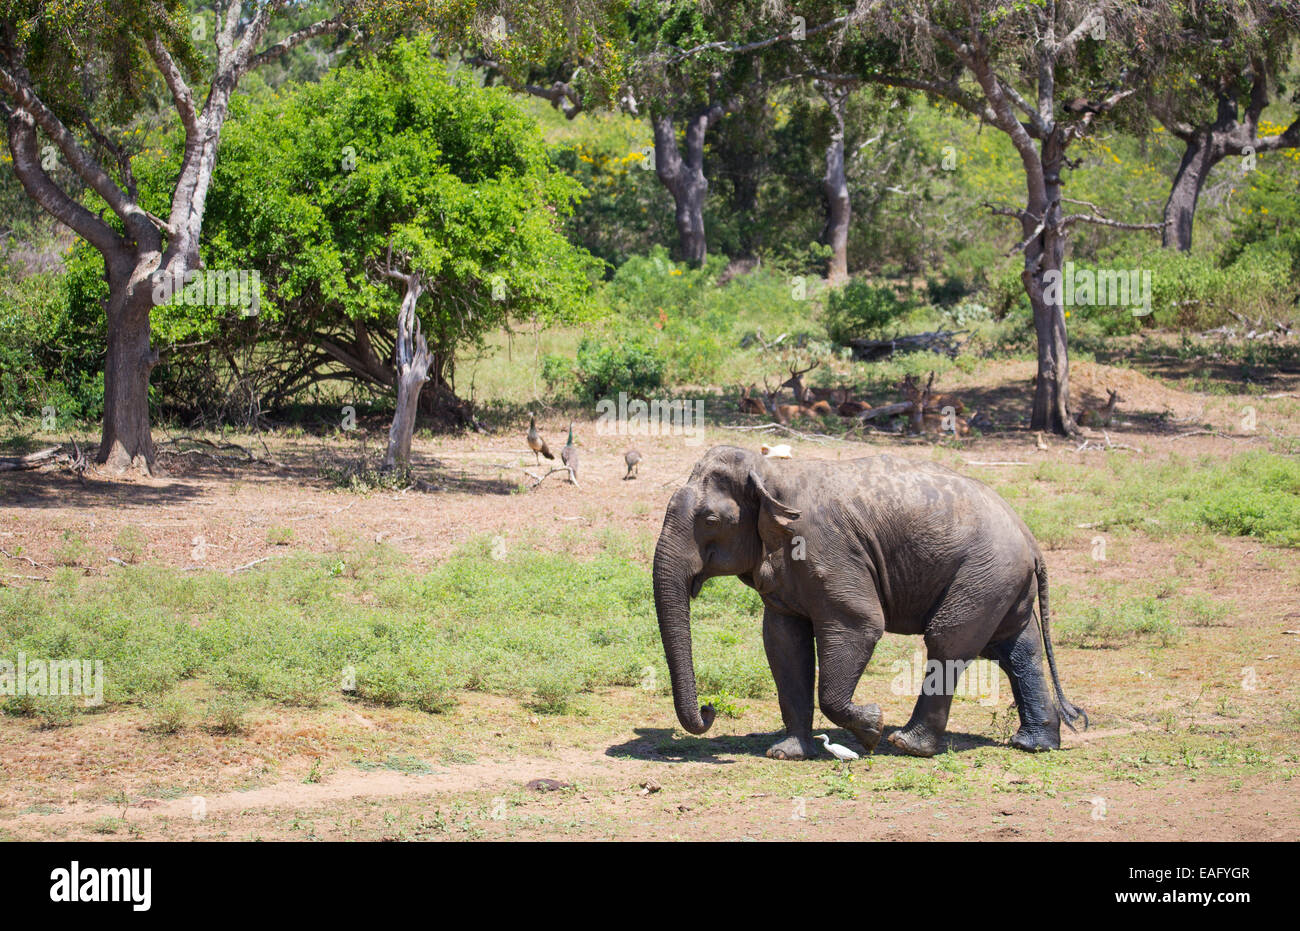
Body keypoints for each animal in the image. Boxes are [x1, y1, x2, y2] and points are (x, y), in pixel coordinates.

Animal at [652, 445, 1086, 760]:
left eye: (710, 520)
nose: (709, 710)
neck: (772, 473)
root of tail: (1029, 537)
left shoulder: (828, 549)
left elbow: (859, 624)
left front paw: (872, 730)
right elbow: (782, 642)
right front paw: (785, 754)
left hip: (984, 574)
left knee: (949, 640)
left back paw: (907, 745)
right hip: (1002, 582)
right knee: (1017, 648)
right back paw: (1032, 745)